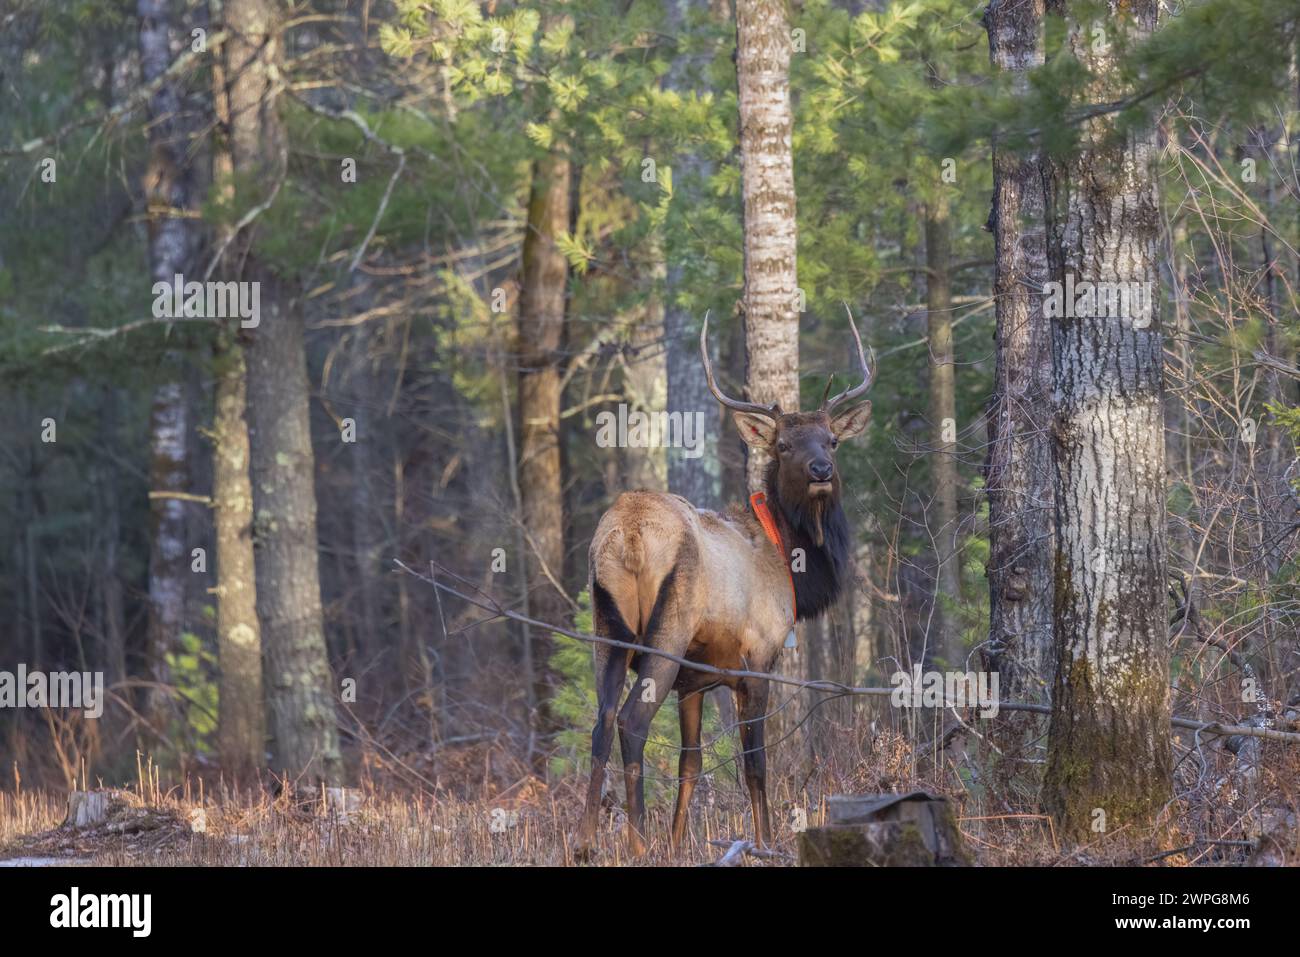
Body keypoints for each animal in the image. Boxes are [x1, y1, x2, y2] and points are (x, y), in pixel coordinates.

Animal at [574, 310, 874, 858]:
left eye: (833, 440)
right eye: (783, 445)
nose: (822, 469)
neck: (791, 561)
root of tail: (627, 533)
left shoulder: (696, 681)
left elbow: (690, 764)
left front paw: (678, 844)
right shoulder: (757, 659)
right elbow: (755, 762)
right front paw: (765, 842)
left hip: (606, 625)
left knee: (602, 721)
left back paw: (586, 842)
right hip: (665, 634)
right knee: (631, 722)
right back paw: (638, 843)